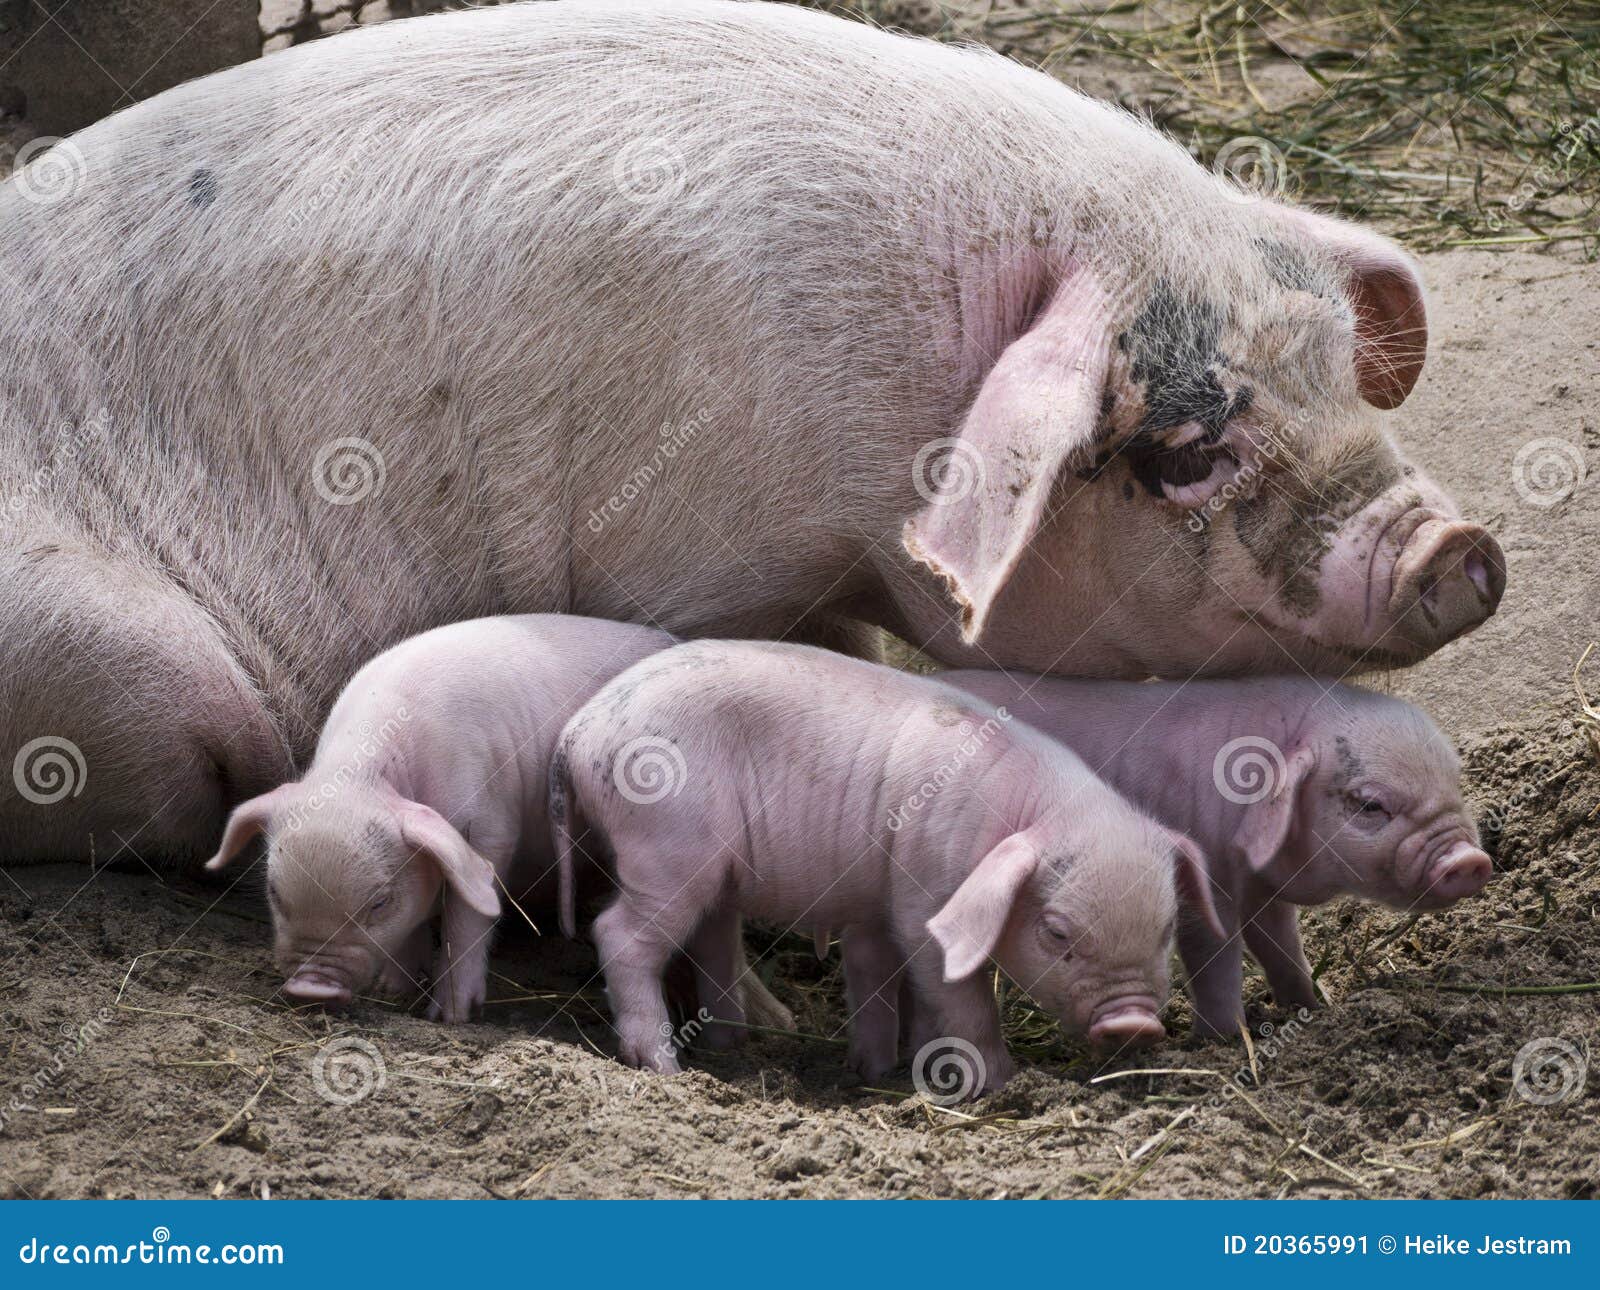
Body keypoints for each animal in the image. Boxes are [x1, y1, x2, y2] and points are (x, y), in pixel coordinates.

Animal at [204, 615, 672, 1021]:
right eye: (275, 893)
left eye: (379, 902)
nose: (310, 988)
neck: (362, 775)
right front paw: (394, 991)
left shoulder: (489, 826)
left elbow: (468, 913)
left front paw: (449, 1016)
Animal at [551, 640, 1224, 1091]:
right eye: (1056, 932)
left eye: (1168, 928)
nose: (1135, 1023)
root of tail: (579, 728)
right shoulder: (926, 890)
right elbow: (957, 992)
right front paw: (998, 1083)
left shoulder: (882, 899)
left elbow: (879, 975)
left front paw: (879, 1070)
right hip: (665, 846)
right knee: (619, 934)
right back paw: (663, 1068)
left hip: (712, 872)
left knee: (711, 938)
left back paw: (734, 1047)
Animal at [943, 671, 1492, 1037]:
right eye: (1371, 804)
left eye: (1456, 779)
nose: (1469, 861)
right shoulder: (1209, 881)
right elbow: (1216, 956)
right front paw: (1224, 1038)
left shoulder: (1262, 892)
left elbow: (1281, 947)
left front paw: (1310, 1006)